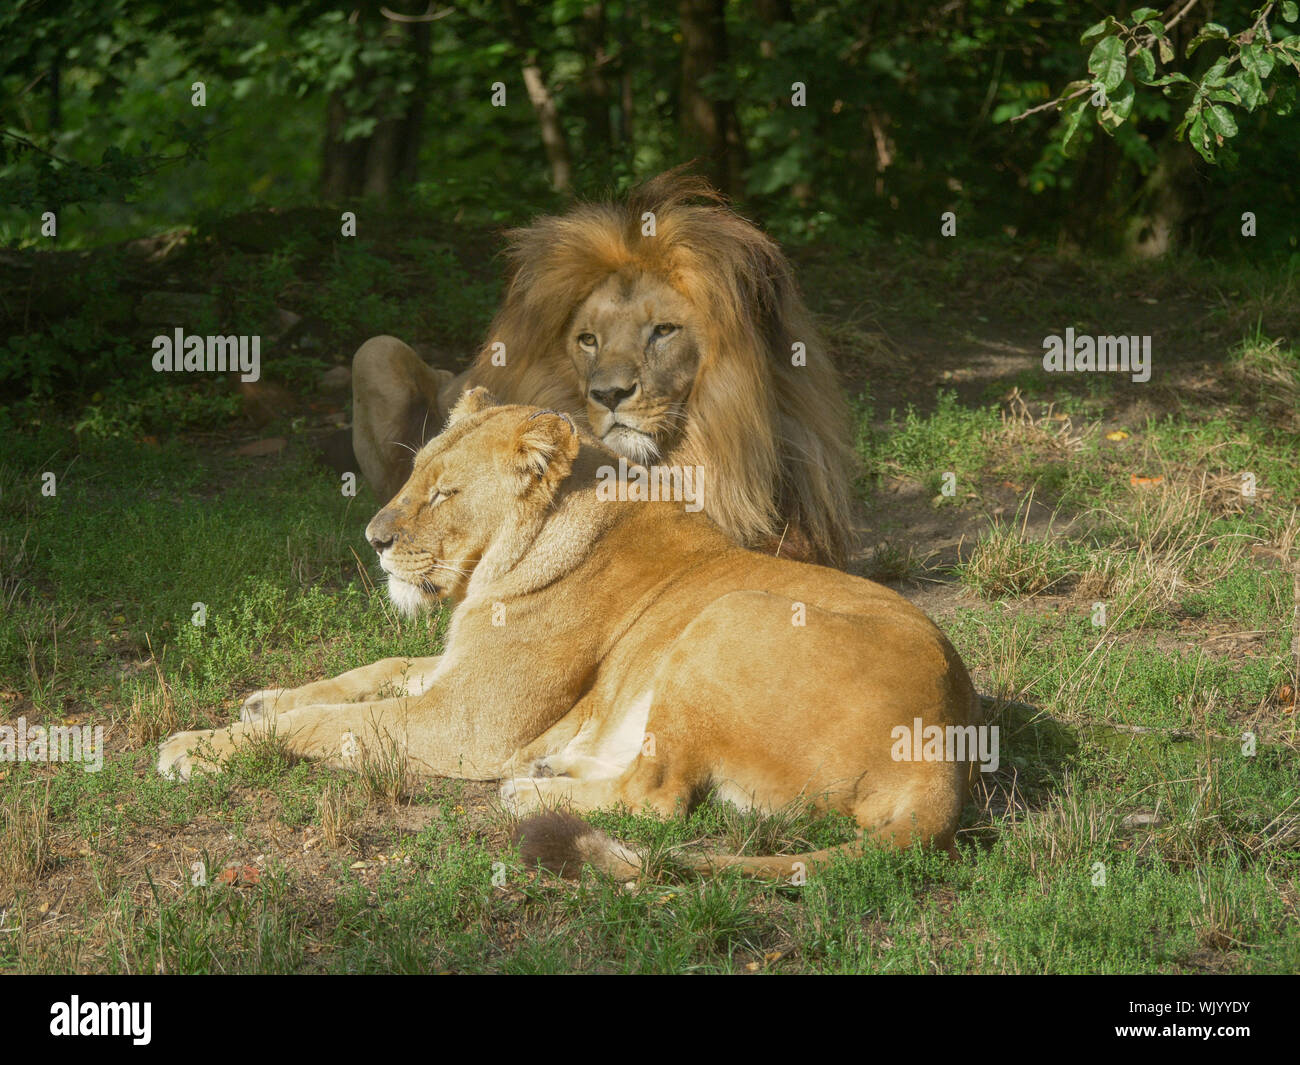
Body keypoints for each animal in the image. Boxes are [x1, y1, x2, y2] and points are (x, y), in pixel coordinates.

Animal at [158, 390, 981, 878]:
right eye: (415, 473)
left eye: (445, 492)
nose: (374, 539)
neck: (490, 573)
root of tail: (941, 756)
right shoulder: (454, 674)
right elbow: (372, 670)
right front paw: (264, 698)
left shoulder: (470, 724)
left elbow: (329, 723)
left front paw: (200, 746)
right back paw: (556, 771)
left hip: (726, 616)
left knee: (659, 799)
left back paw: (528, 794)